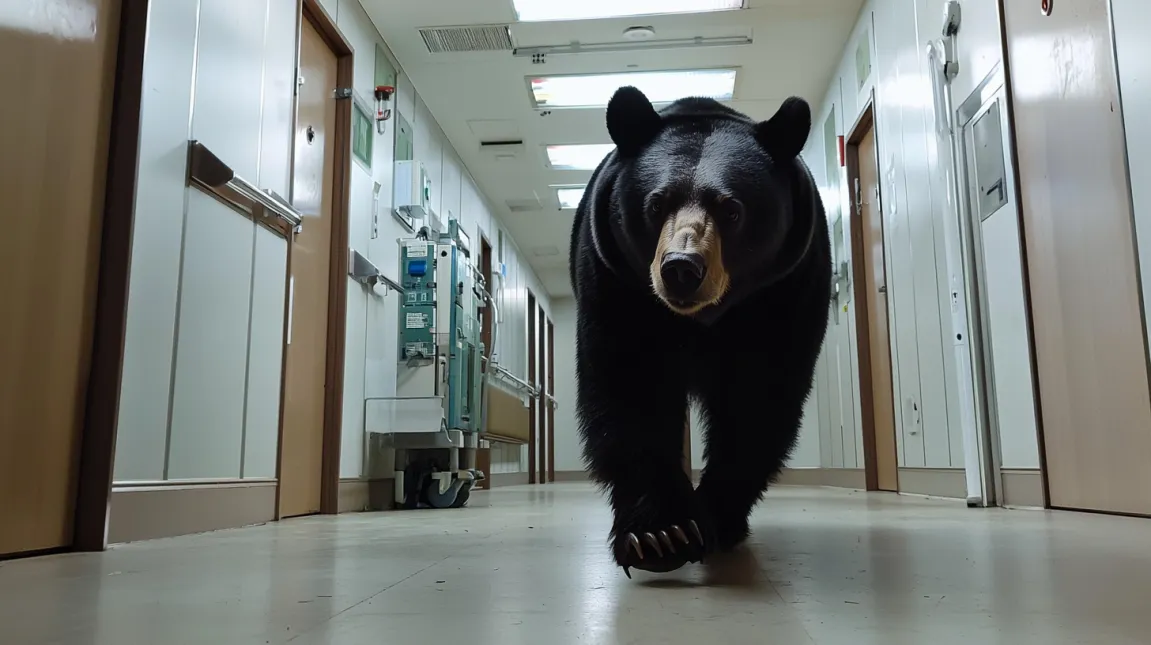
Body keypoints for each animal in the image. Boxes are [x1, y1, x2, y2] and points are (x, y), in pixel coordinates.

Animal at [568, 86, 831, 576]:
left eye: (731, 209)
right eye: (656, 204)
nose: (681, 269)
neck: (705, 316)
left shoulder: (786, 287)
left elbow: (759, 396)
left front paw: (717, 516)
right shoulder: (616, 282)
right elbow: (629, 383)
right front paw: (661, 534)